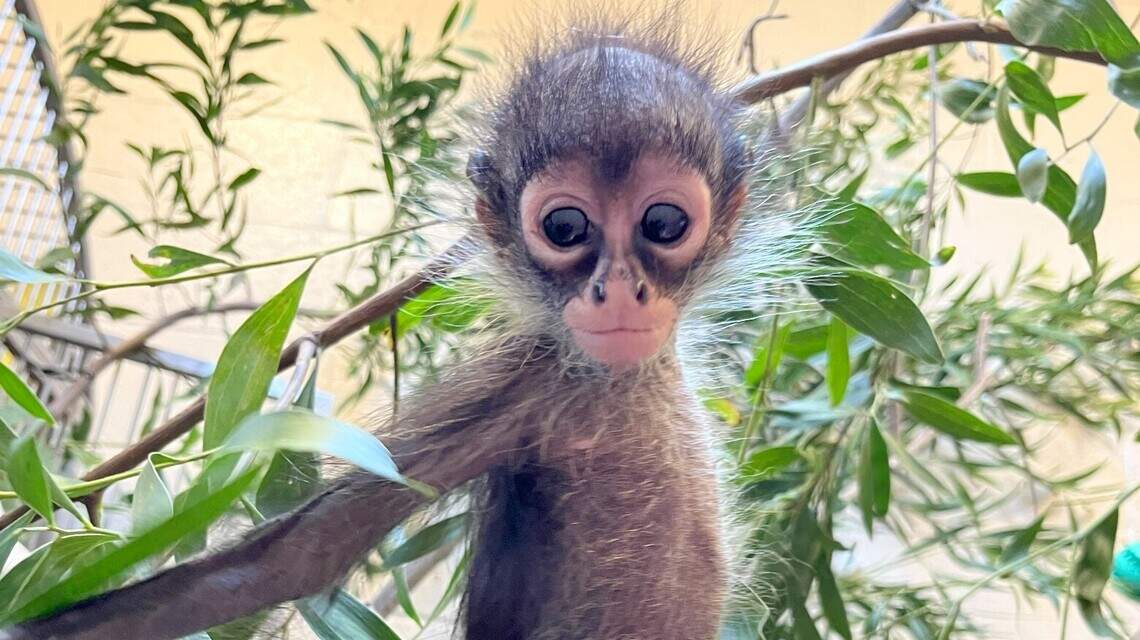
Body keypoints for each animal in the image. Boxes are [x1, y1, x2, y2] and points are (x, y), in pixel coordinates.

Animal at [1, 12, 798, 640]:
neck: (618, 383)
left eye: (663, 223)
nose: (620, 292)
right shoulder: (526, 387)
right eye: (566, 228)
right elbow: (292, 561)